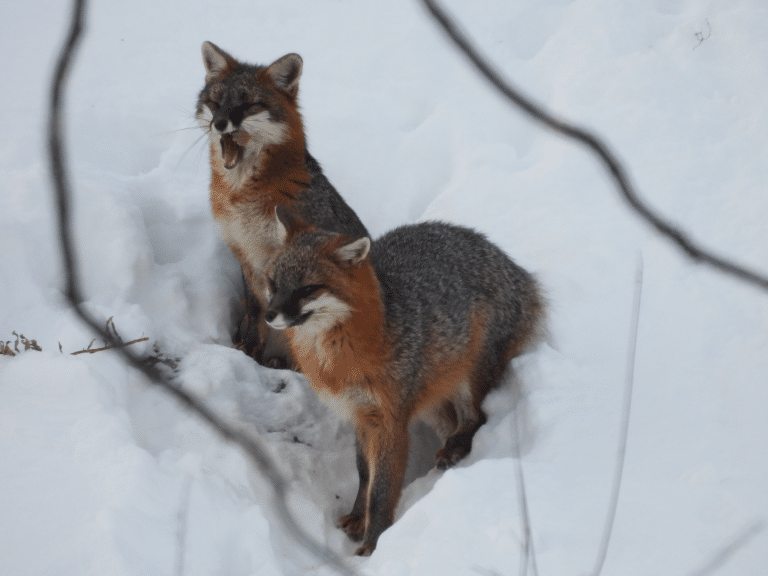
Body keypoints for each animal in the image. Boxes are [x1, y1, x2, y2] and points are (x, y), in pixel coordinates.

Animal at [195, 41, 368, 368]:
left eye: (248, 106)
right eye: (214, 103)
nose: (220, 123)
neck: (242, 199)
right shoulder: (245, 255)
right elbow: (256, 313)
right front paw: (249, 350)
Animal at [263, 206, 545, 555]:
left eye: (307, 289)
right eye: (273, 283)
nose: (269, 315)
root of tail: (512, 266)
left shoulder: (390, 420)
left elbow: (383, 487)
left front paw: (373, 543)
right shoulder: (360, 415)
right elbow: (365, 473)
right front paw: (358, 517)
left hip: (466, 377)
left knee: (476, 418)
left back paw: (456, 449)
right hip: (429, 401)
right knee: (452, 423)